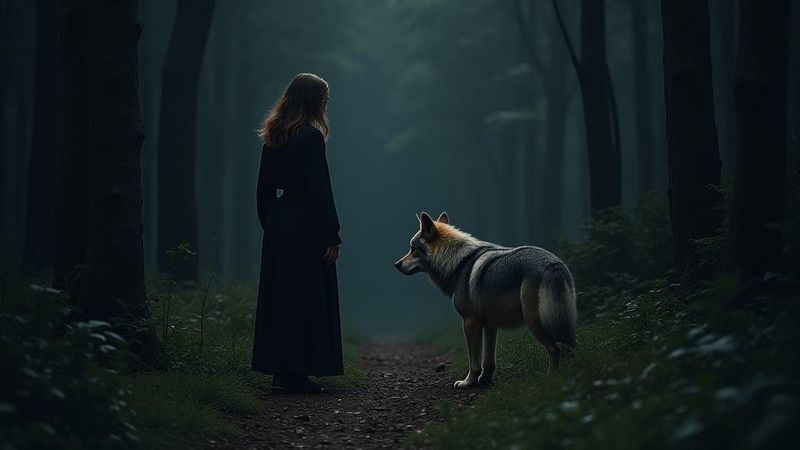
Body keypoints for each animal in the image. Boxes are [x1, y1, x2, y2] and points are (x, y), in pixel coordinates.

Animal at [394, 212, 577, 388]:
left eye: (412, 249)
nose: (396, 264)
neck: (459, 263)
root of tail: (552, 264)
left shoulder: (470, 322)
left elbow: (474, 362)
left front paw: (468, 382)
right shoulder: (490, 324)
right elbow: (488, 361)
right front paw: (485, 381)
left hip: (535, 321)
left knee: (555, 350)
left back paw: (550, 378)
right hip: (562, 322)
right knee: (569, 349)